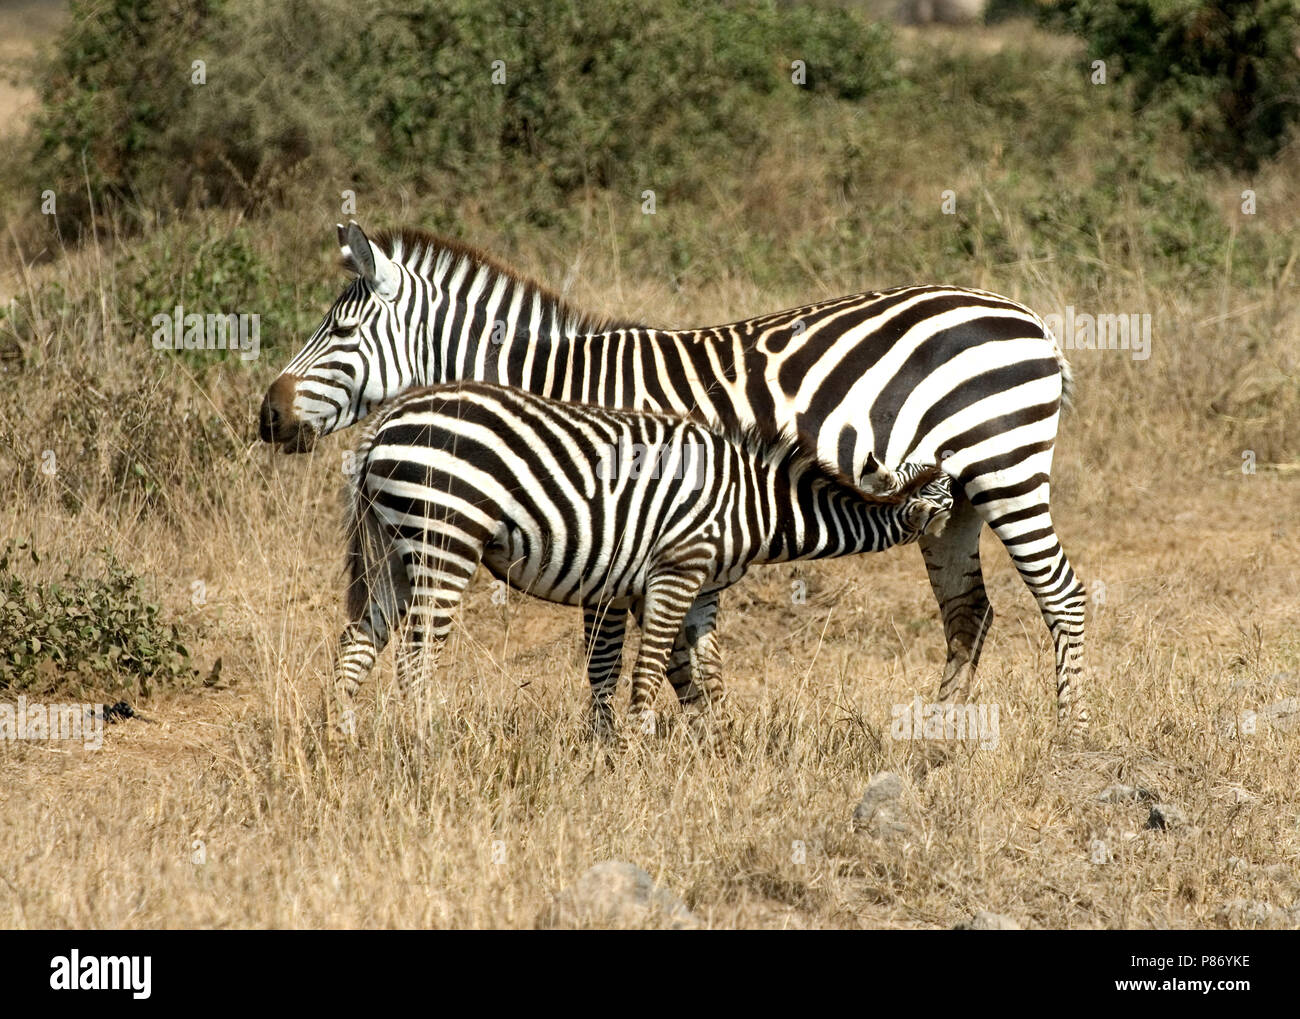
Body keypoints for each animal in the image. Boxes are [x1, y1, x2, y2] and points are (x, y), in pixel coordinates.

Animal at [335, 380, 953, 742]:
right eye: (953, 494)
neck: (757, 503)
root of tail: (382, 422)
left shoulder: (702, 587)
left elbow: (707, 674)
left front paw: (720, 747)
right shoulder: (676, 570)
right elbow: (650, 668)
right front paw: (634, 749)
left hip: (389, 546)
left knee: (358, 642)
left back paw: (341, 736)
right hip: (444, 536)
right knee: (416, 656)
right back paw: (431, 742)